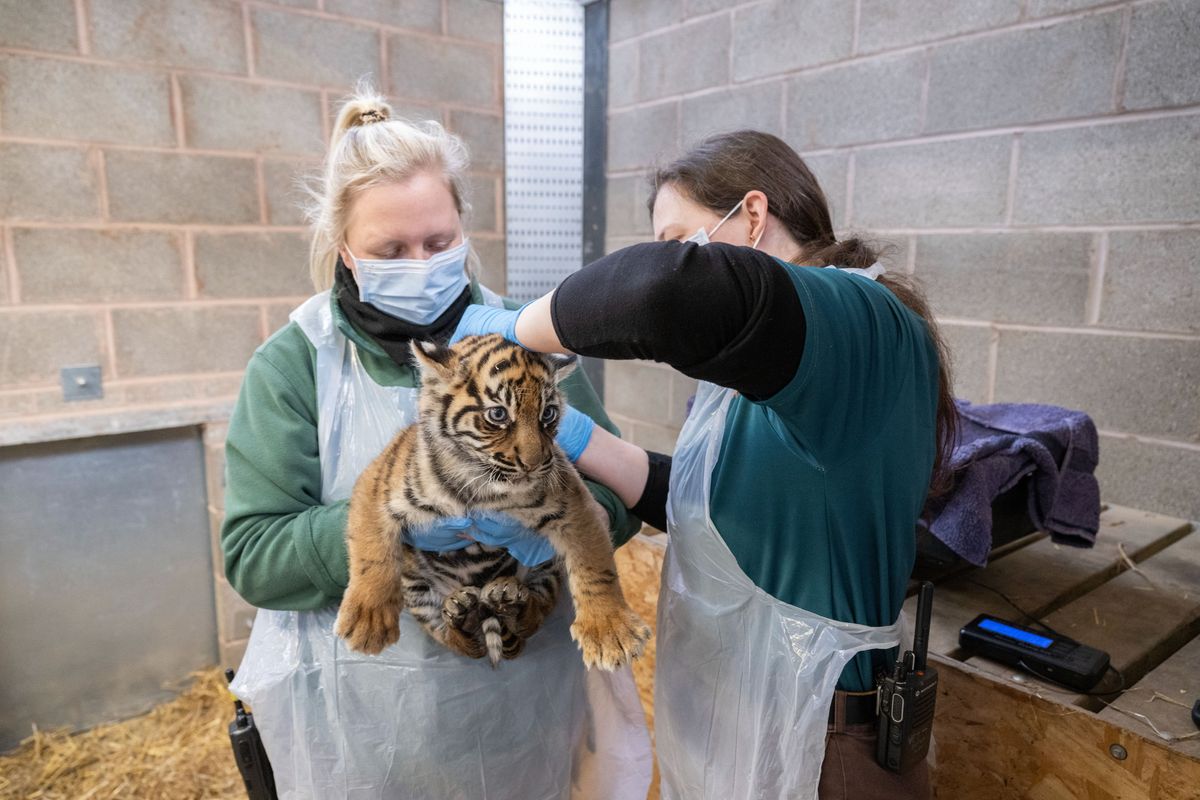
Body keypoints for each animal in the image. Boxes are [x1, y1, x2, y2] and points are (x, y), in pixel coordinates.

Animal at [334, 333, 652, 670]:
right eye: (497, 414)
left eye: (548, 414)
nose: (534, 464)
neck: (480, 484)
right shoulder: (375, 485)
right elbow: (371, 552)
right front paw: (367, 622)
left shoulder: (574, 505)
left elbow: (594, 563)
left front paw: (610, 630)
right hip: (415, 585)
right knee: (458, 641)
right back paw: (462, 611)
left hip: (545, 567)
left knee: (531, 617)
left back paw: (508, 600)